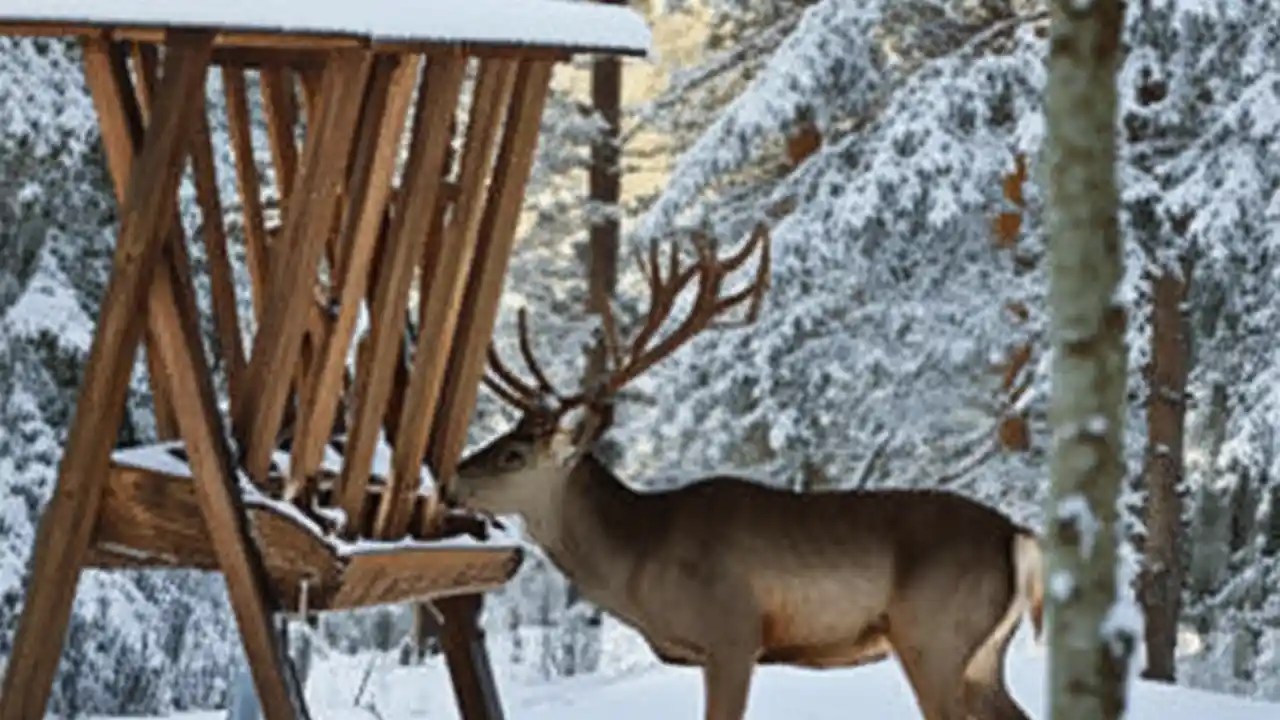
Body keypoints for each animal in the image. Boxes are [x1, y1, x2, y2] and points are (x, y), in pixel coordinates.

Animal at [443, 224, 1046, 720]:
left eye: (513, 455)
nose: (449, 480)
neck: (640, 559)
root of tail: (1018, 535)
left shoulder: (732, 635)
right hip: (980, 655)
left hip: (933, 636)